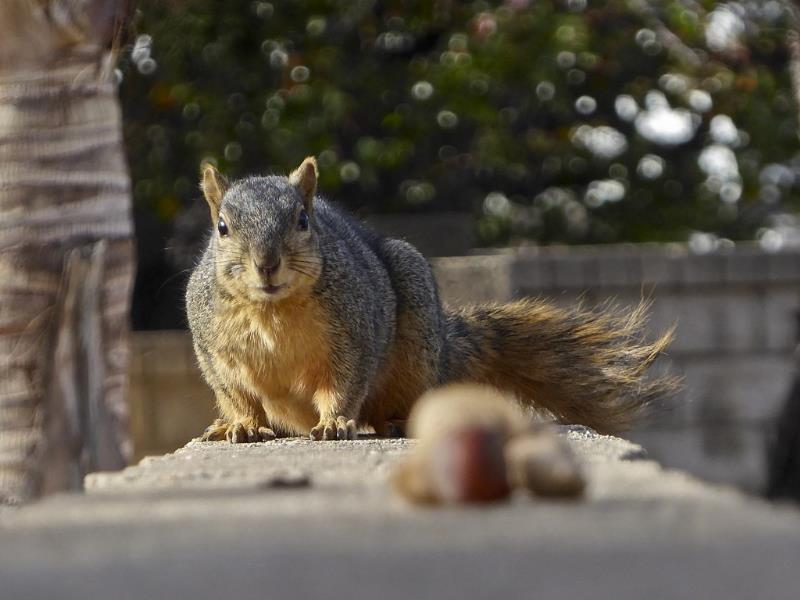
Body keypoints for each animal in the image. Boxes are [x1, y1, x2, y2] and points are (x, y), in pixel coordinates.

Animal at [186, 156, 676, 443]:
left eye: (303, 220)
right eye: (222, 228)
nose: (267, 264)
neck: (271, 308)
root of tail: (443, 346)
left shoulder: (354, 335)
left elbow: (344, 383)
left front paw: (335, 422)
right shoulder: (216, 353)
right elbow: (236, 394)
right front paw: (242, 424)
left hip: (416, 340)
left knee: (401, 402)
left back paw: (399, 420)